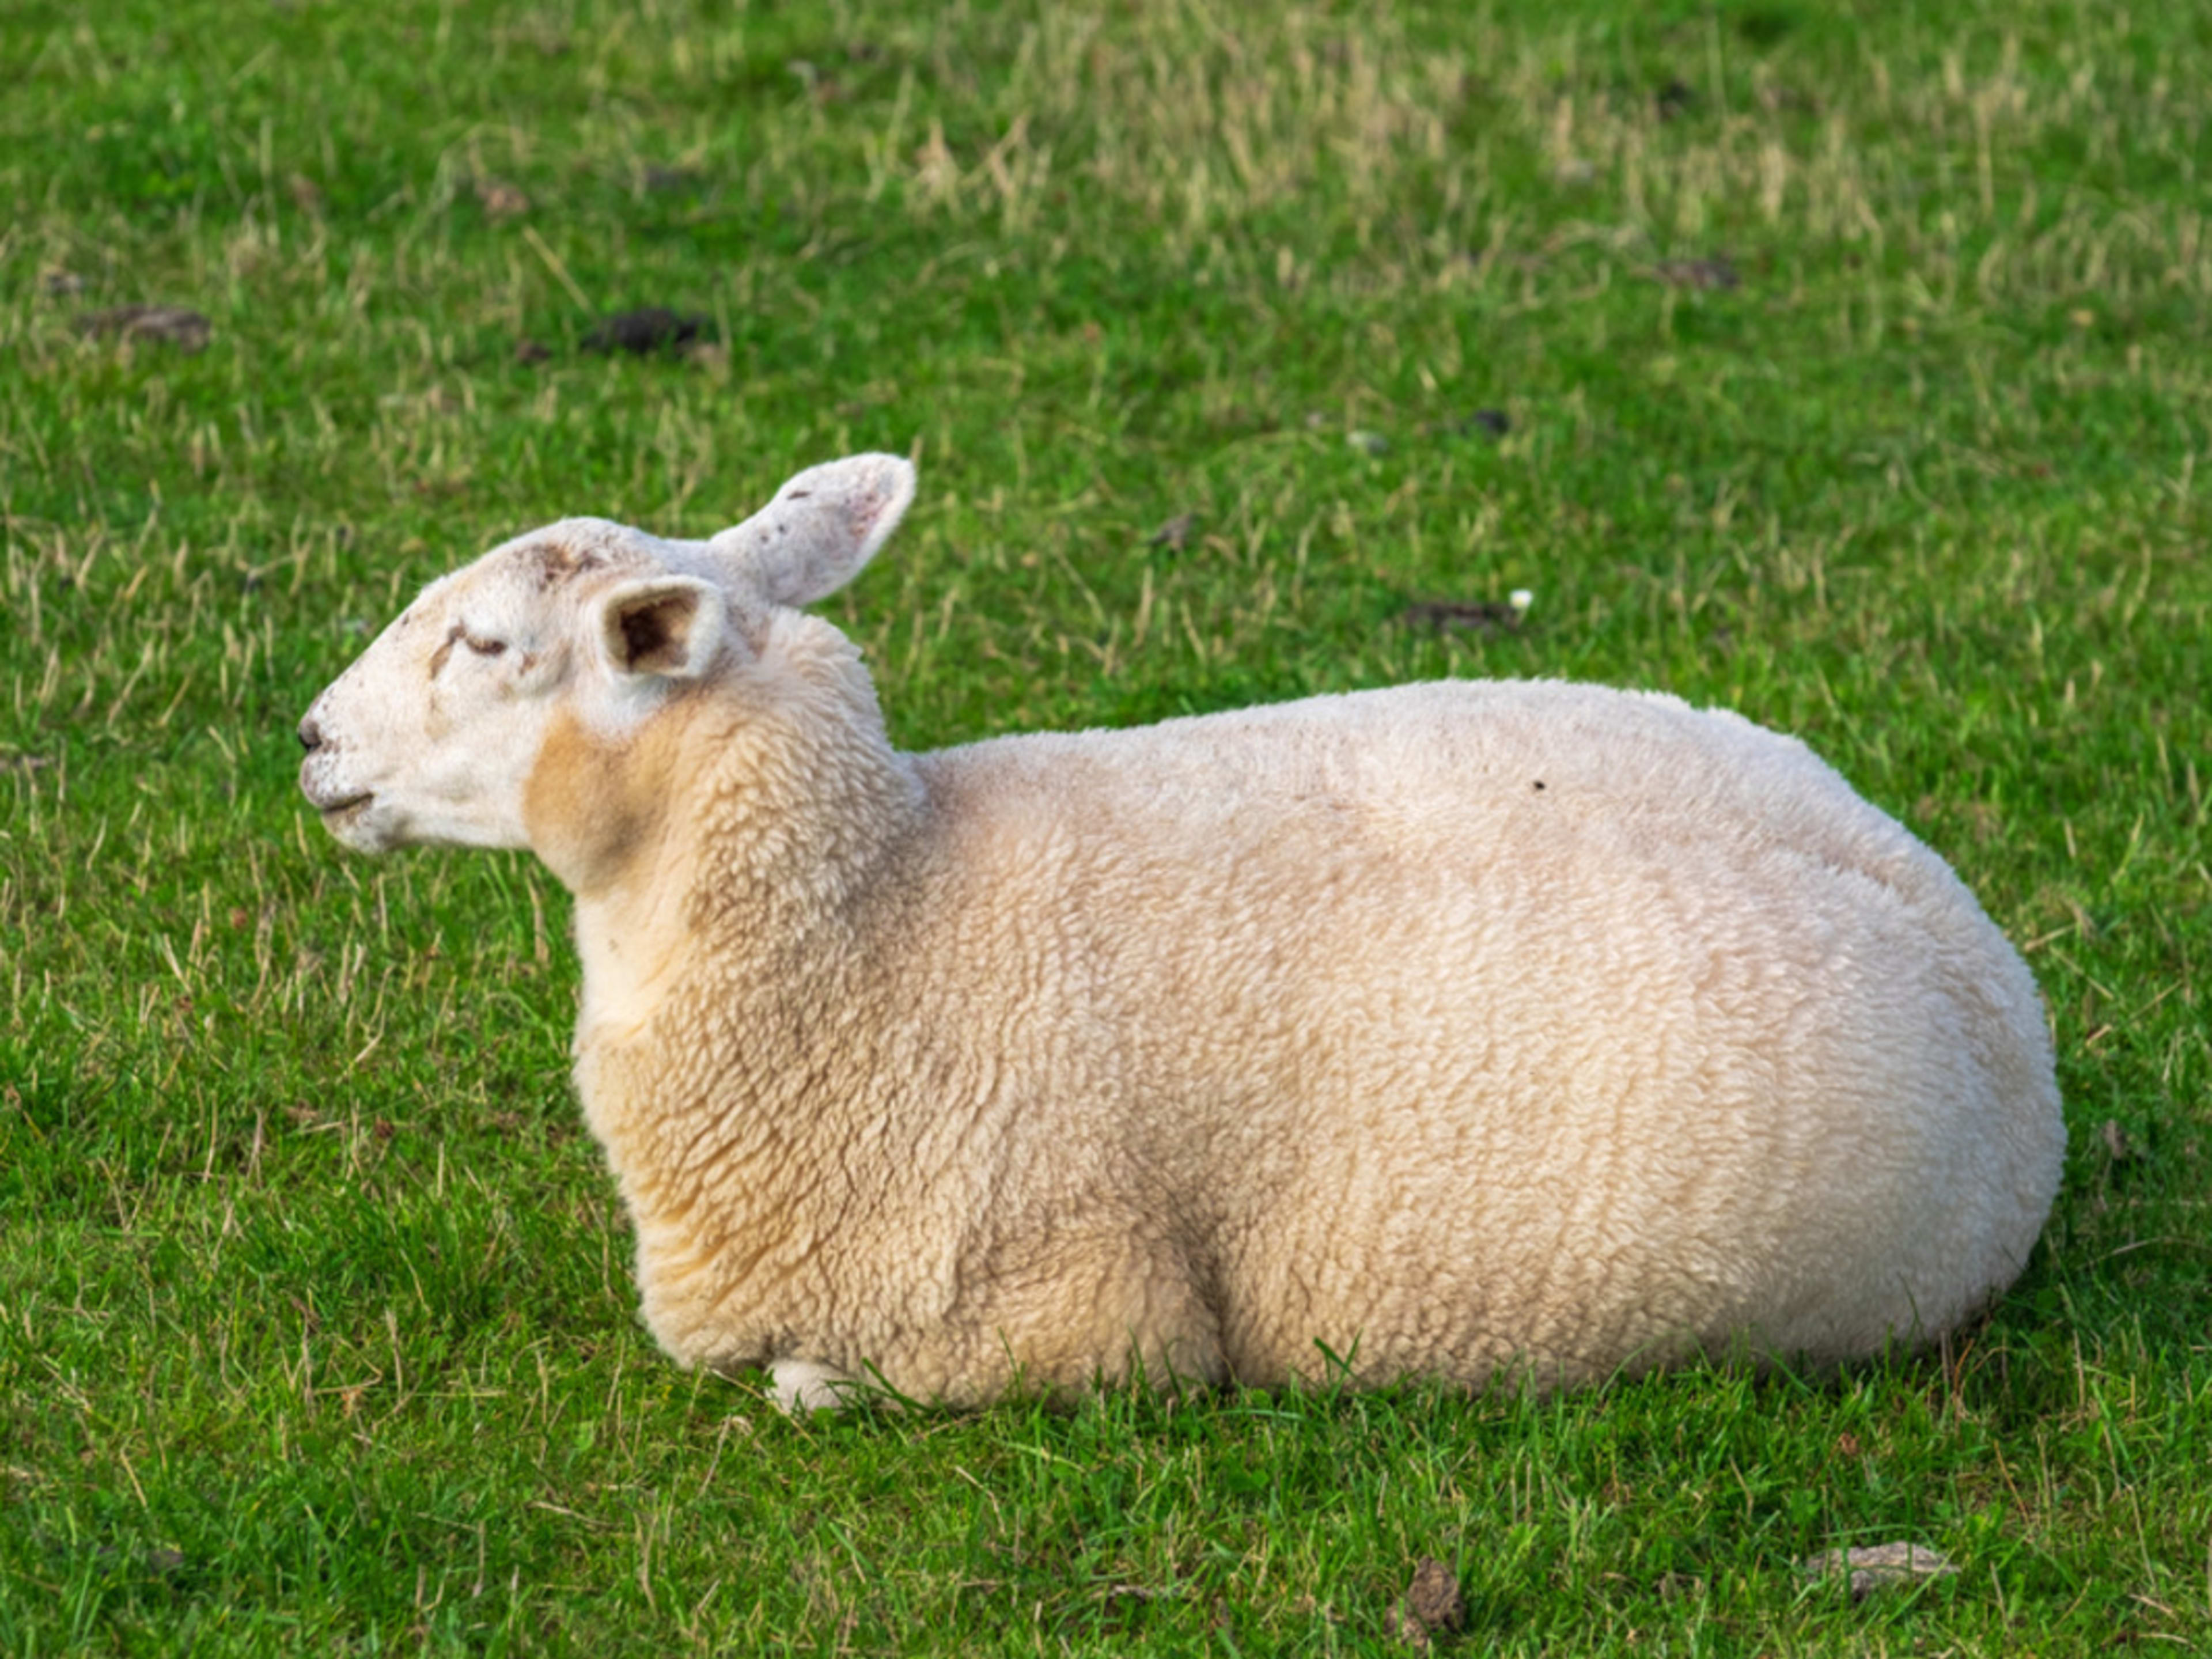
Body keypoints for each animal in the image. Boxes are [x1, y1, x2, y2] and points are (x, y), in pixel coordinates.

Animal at [297, 452, 2066, 1412]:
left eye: (487, 643)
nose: (310, 739)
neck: (885, 915)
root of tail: (1968, 937)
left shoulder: (1084, 1319)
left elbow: (806, 1386)